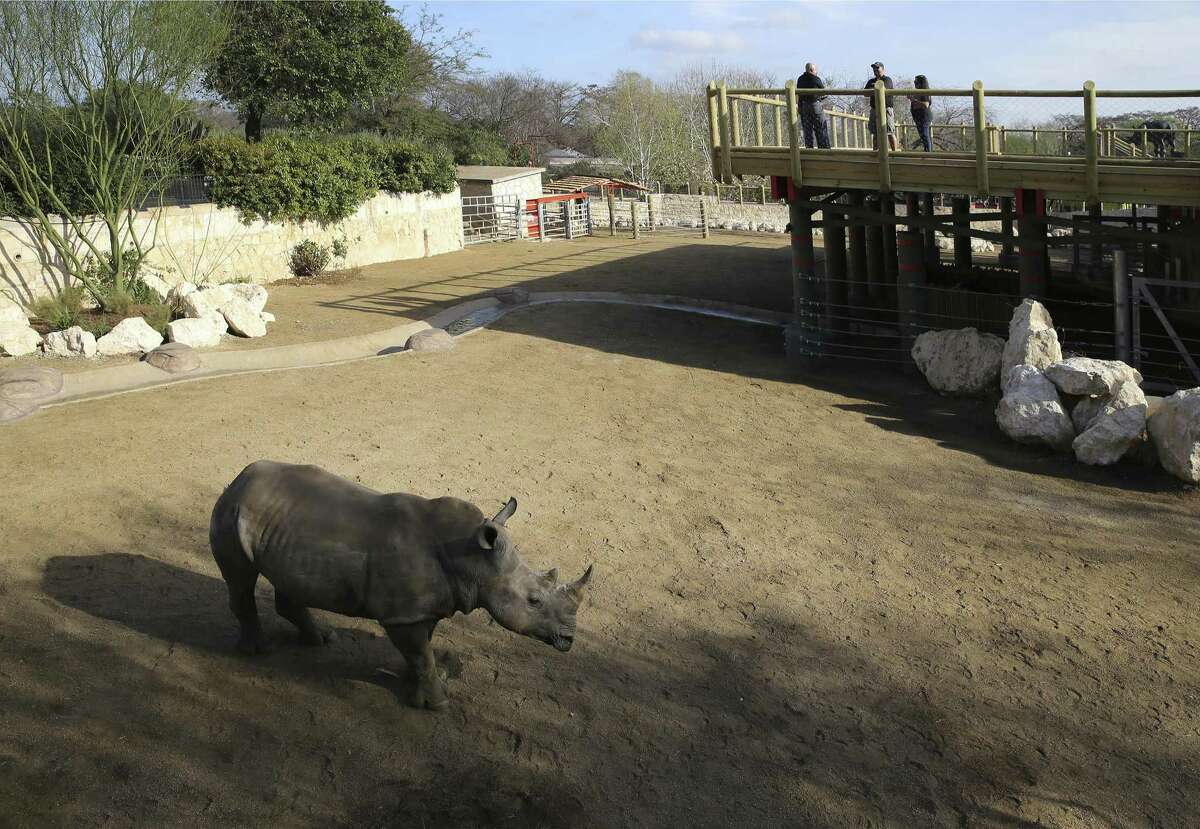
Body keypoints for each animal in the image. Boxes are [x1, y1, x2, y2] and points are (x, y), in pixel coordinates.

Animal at [209, 460, 593, 710]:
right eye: (534, 600)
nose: (569, 639)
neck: (473, 559)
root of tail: (239, 479)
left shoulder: (422, 607)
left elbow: (422, 651)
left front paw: (415, 687)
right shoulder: (401, 614)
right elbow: (420, 652)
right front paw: (438, 704)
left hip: (282, 523)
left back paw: (321, 639)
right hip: (231, 512)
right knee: (241, 578)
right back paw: (258, 651)